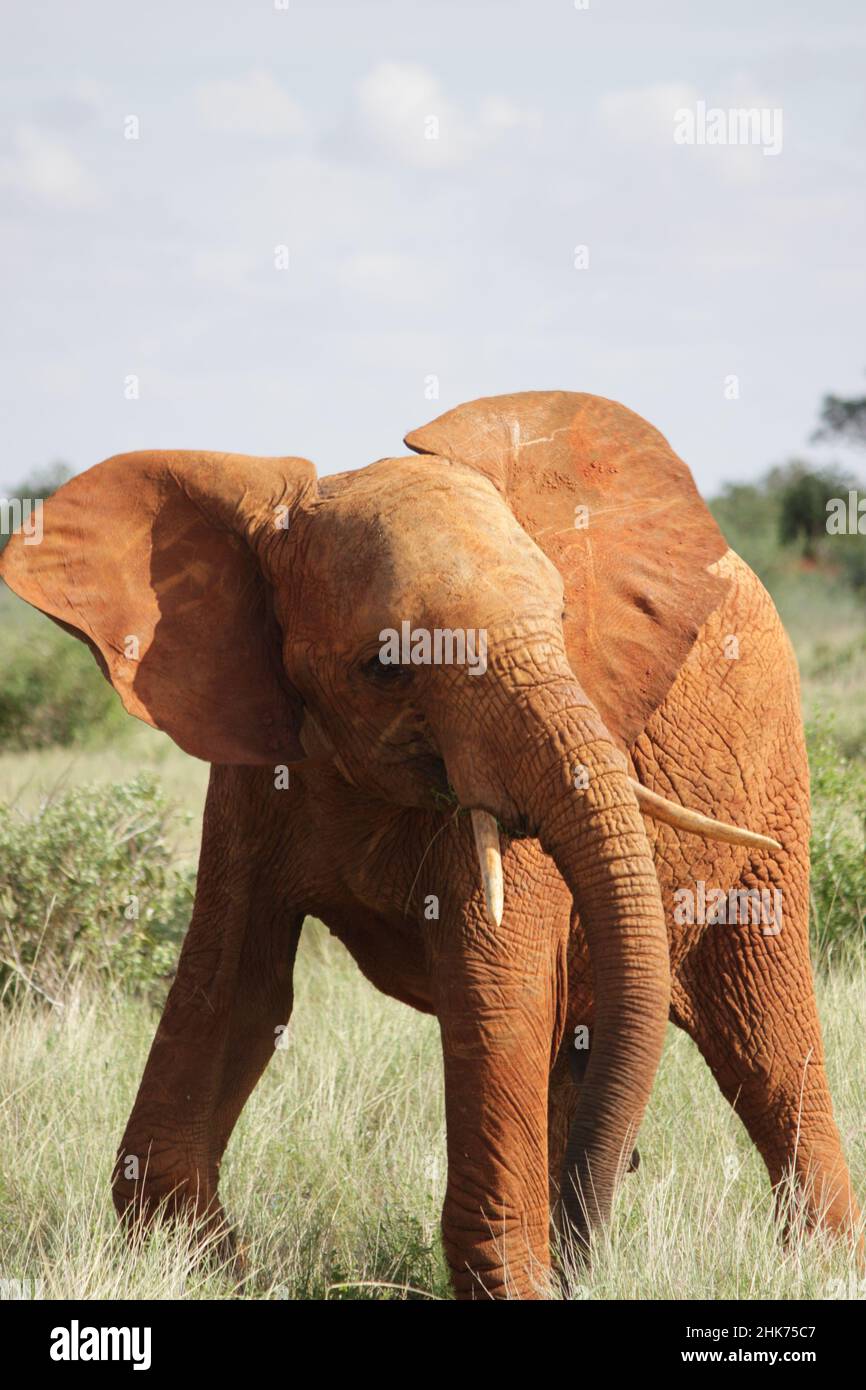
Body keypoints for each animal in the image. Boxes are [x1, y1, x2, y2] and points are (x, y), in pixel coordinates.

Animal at [1, 390, 859, 1300]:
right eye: (386, 666)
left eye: (561, 620)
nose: (587, 1247)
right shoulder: (252, 766)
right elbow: (235, 986)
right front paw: (208, 1264)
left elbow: (494, 989)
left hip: (773, 783)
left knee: (765, 1044)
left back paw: (822, 1267)